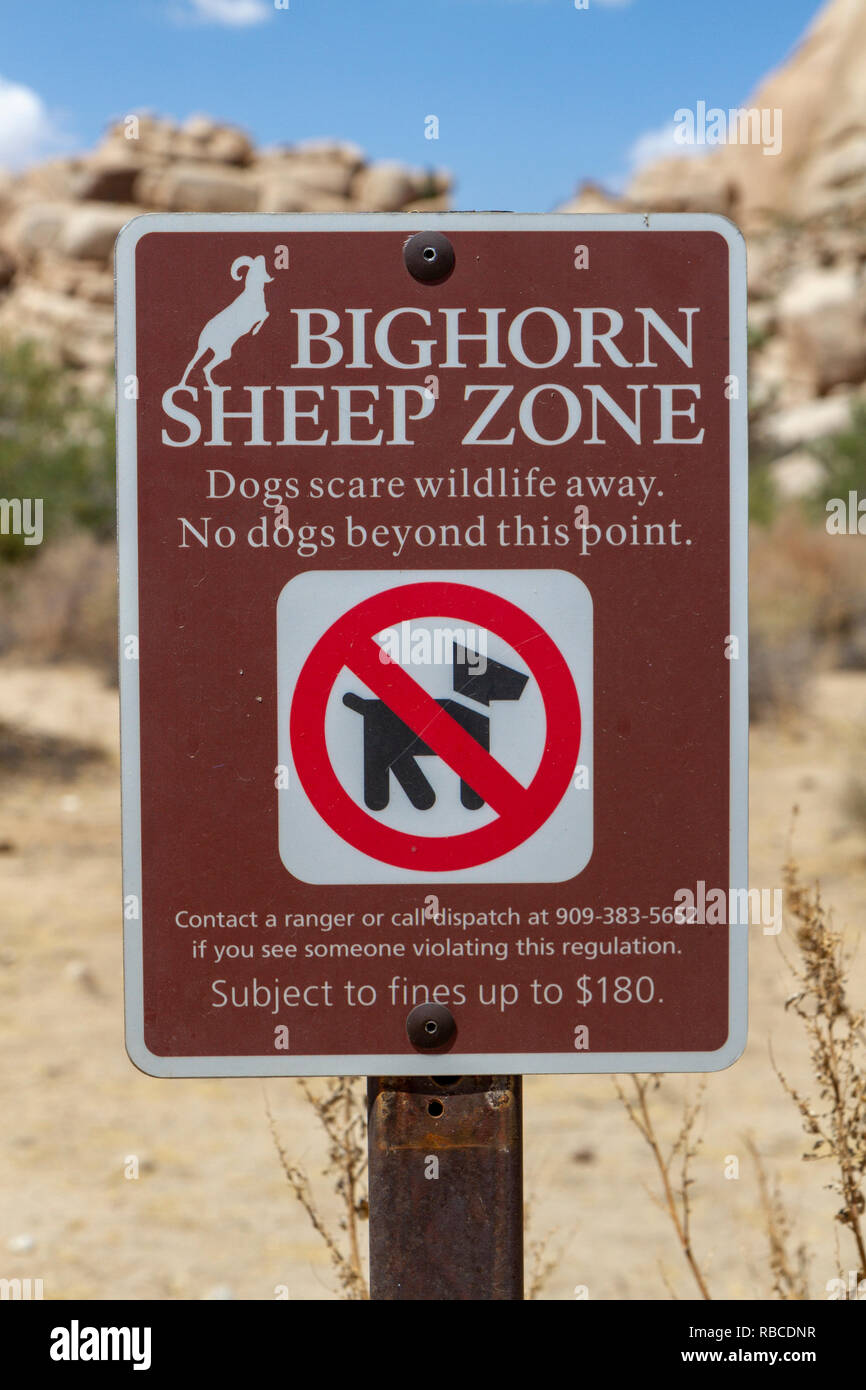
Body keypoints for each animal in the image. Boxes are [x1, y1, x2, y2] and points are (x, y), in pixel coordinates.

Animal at [179, 254, 274, 389]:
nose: (261, 257)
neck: (253, 296)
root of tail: (205, 338)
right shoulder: (257, 316)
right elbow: (265, 315)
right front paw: (254, 332)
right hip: (222, 353)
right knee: (206, 368)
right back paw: (214, 387)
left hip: (206, 351)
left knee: (192, 364)